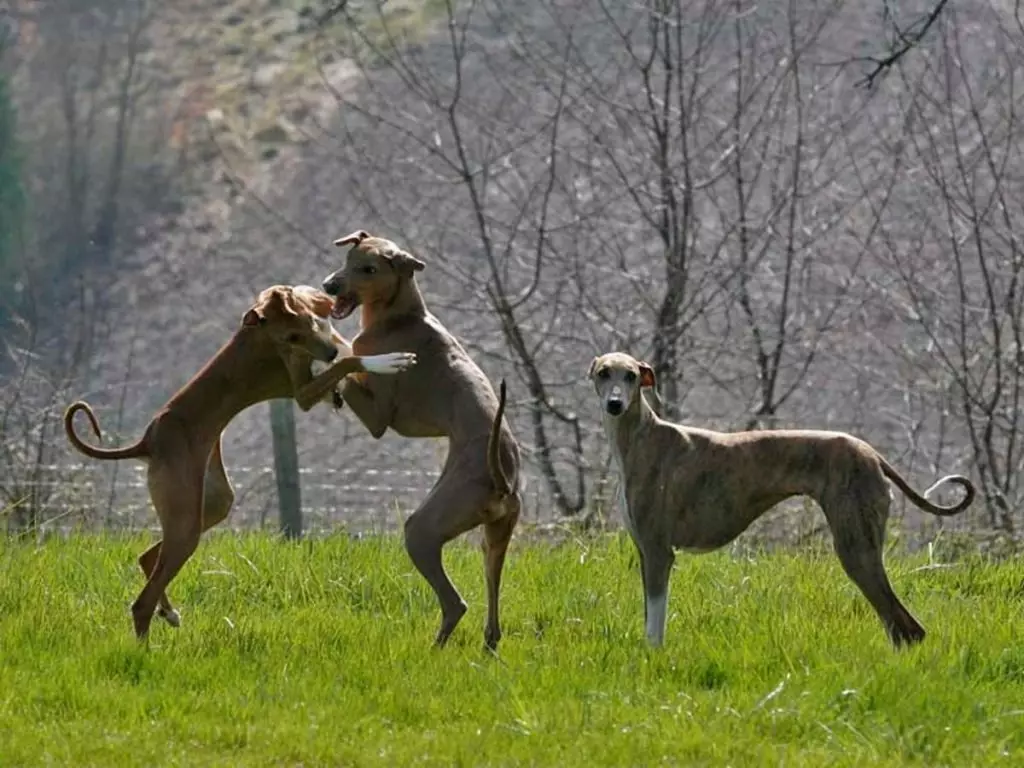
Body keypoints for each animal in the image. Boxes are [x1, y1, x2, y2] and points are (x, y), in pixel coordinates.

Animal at [65, 286, 415, 638]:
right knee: (142, 602)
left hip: (210, 504)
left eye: (306, 324)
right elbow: (350, 360)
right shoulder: (302, 392)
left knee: (148, 557)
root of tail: (148, 440)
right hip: (186, 521)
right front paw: (387, 360)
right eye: (290, 337)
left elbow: (343, 352)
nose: (328, 353)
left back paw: (170, 612)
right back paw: (146, 643)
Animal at [319, 231, 524, 651]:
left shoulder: (379, 418)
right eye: (348, 259)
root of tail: (502, 479)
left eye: (369, 269)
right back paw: (487, 646)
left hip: (423, 530)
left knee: (455, 603)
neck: (400, 316)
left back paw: (434, 649)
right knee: (492, 608)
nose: (330, 286)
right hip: (493, 540)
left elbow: (347, 359)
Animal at [589, 354, 970, 651]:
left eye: (631, 375)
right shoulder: (644, 553)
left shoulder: (659, 553)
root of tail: (872, 454)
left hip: (856, 548)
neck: (640, 437)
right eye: (604, 372)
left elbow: (655, 628)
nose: (614, 404)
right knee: (900, 627)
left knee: (905, 626)